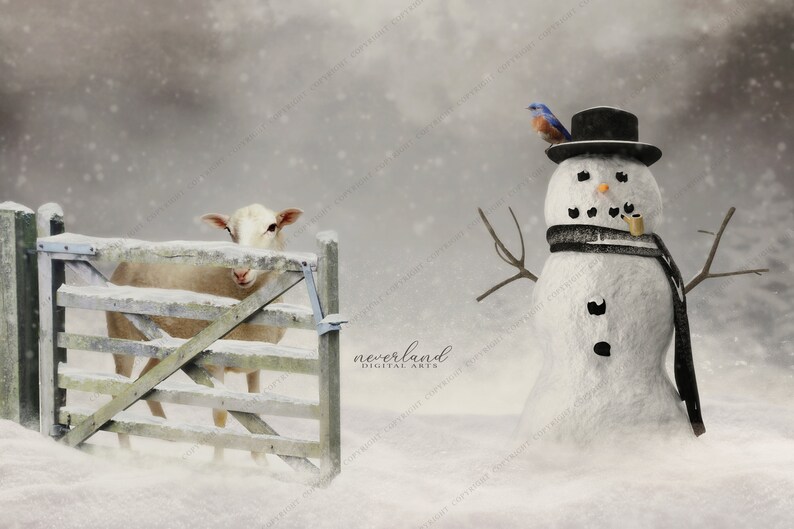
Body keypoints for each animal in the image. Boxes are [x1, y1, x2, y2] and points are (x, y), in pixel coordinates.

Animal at [106, 204, 303, 461]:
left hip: (164, 346)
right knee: (117, 392)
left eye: (272, 227)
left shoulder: (256, 359)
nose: (241, 272)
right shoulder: (213, 362)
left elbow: (256, 409)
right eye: (229, 230)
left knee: (144, 382)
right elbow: (220, 414)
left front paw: (260, 462)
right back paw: (126, 449)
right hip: (121, 336)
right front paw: (218, 464)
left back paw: (167, 433)